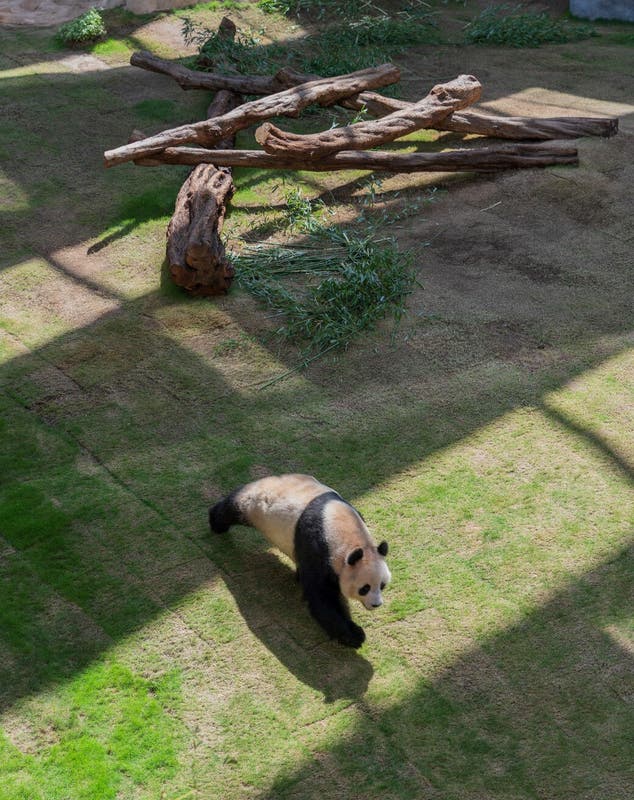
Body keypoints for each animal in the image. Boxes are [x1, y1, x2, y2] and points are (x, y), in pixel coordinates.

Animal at [209, 474, 390, 649]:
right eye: (365, 588)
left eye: (382, 585)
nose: (376, 604)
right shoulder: (316, 546)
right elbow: (320, 595)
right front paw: (353, 634)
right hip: (253, 505)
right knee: (230, 509)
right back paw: (215, 522)